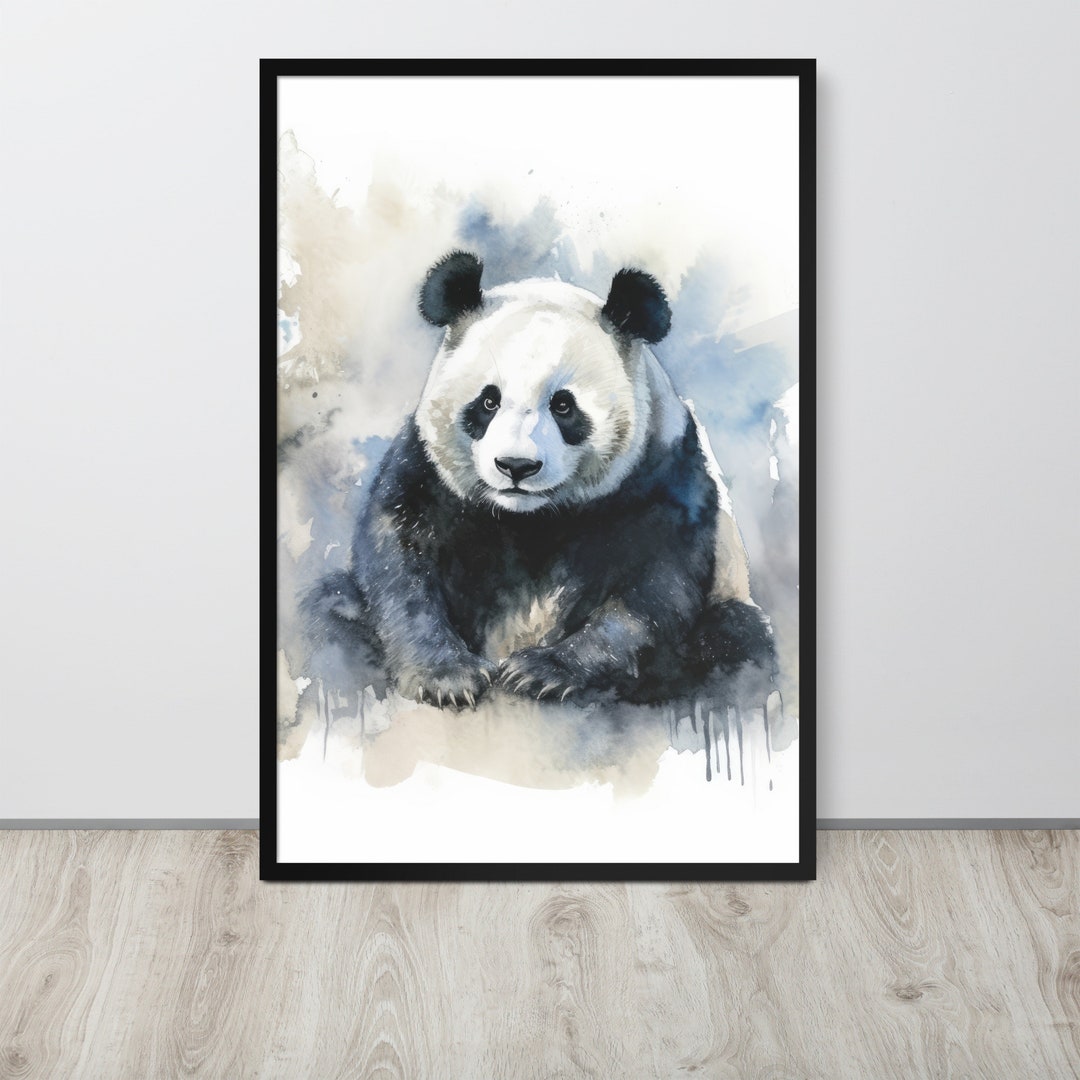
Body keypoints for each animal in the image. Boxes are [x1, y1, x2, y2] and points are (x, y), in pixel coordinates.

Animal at [305, 251, 775, 710]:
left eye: (564, 406)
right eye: (488, 402)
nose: (516, 466)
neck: (532, 517)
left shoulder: (663, 477)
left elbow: (654, 590)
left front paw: (544, 671)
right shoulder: (428, 471)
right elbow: (399, 557)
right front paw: (445, 677)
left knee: (734, 642)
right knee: (329, 611)